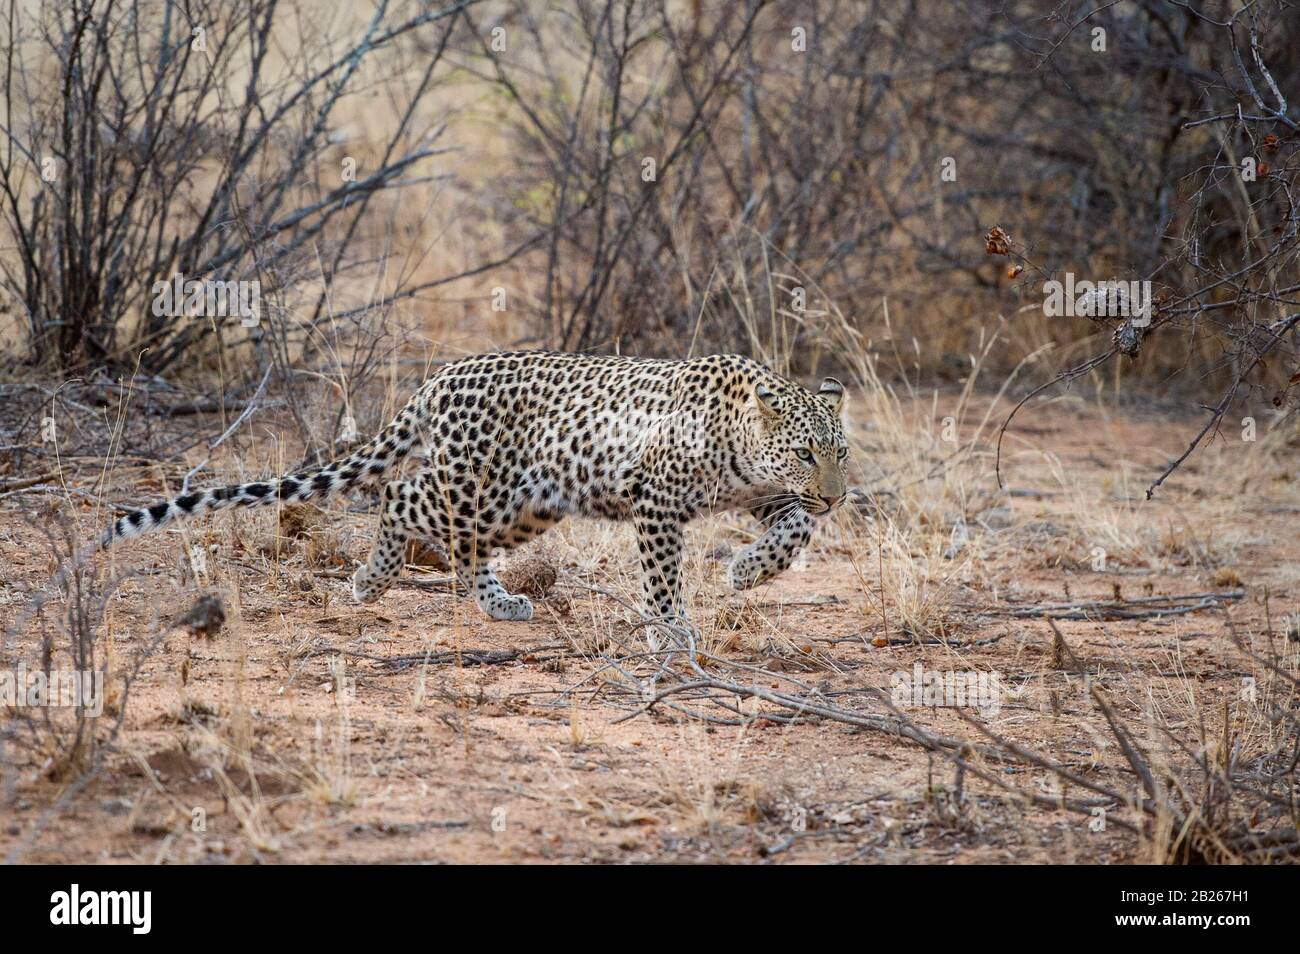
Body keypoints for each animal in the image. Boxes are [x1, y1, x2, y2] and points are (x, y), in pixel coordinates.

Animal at [102, 351, 850, 631]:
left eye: (839, 453)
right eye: (805, 451)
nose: (839, 496)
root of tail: (440, 375)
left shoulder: (763, 493)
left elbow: (795, 528)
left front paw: (747, 571)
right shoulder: (659, 503)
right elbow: (664, 578)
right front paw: (673, 632)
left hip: (529, 503)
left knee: (459, 542)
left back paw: (489, 600)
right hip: (482, 487)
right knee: (403, 498)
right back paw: (373, 582)